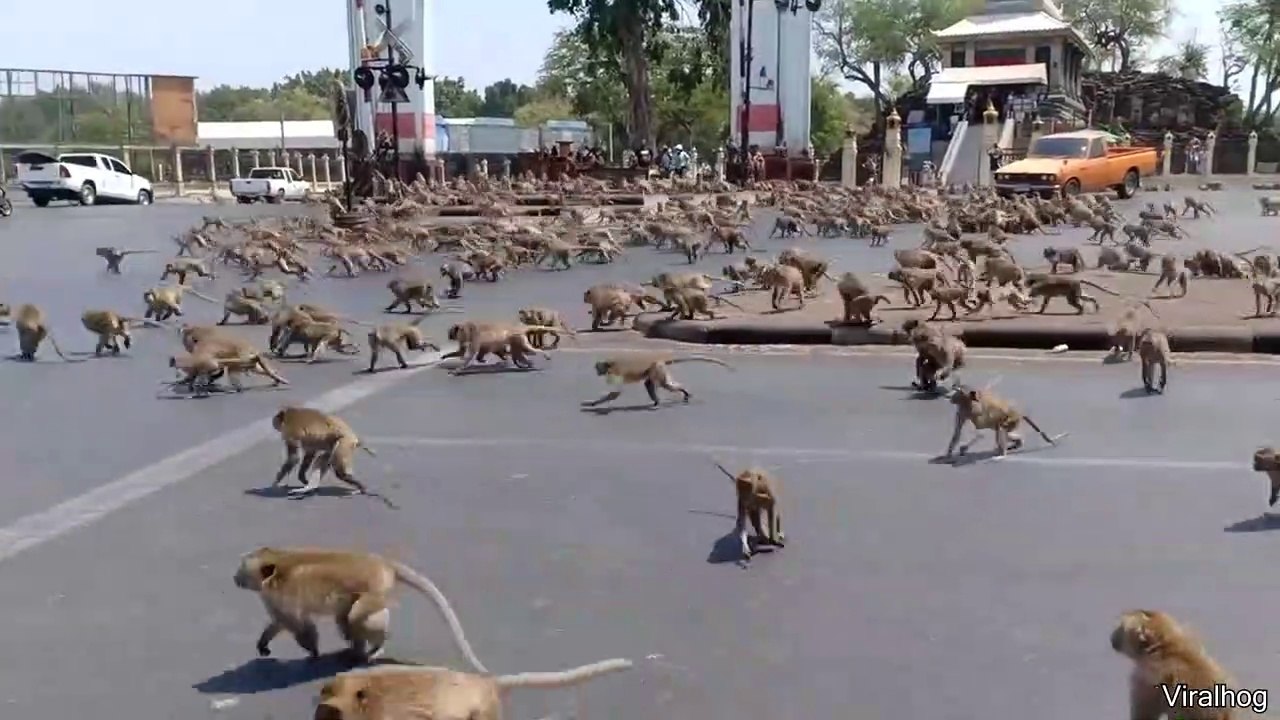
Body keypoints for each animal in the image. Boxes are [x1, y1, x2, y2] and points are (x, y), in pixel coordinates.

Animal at [233, 546, 487, 670]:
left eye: (241, 569)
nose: (234, 578)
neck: (278, 565)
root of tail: (384, 564)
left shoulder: (282, 596)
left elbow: (299, 625)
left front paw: (313, 653)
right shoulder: (272, 598)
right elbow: (280, 622)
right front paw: (263, 643)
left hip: (375, 591)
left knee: (356, 617)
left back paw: (375, 646)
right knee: (345, 618)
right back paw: (355, 649)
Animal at [582, 353, 734, 408]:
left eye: (598, 368)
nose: (596, 372)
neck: (611, 364)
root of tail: (659, 360)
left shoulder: (616, 373)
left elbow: (615, 393)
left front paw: (593, 403)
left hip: (657, 369)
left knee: (665, 385)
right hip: (656, 370)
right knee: (650, 384)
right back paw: (657, 401)